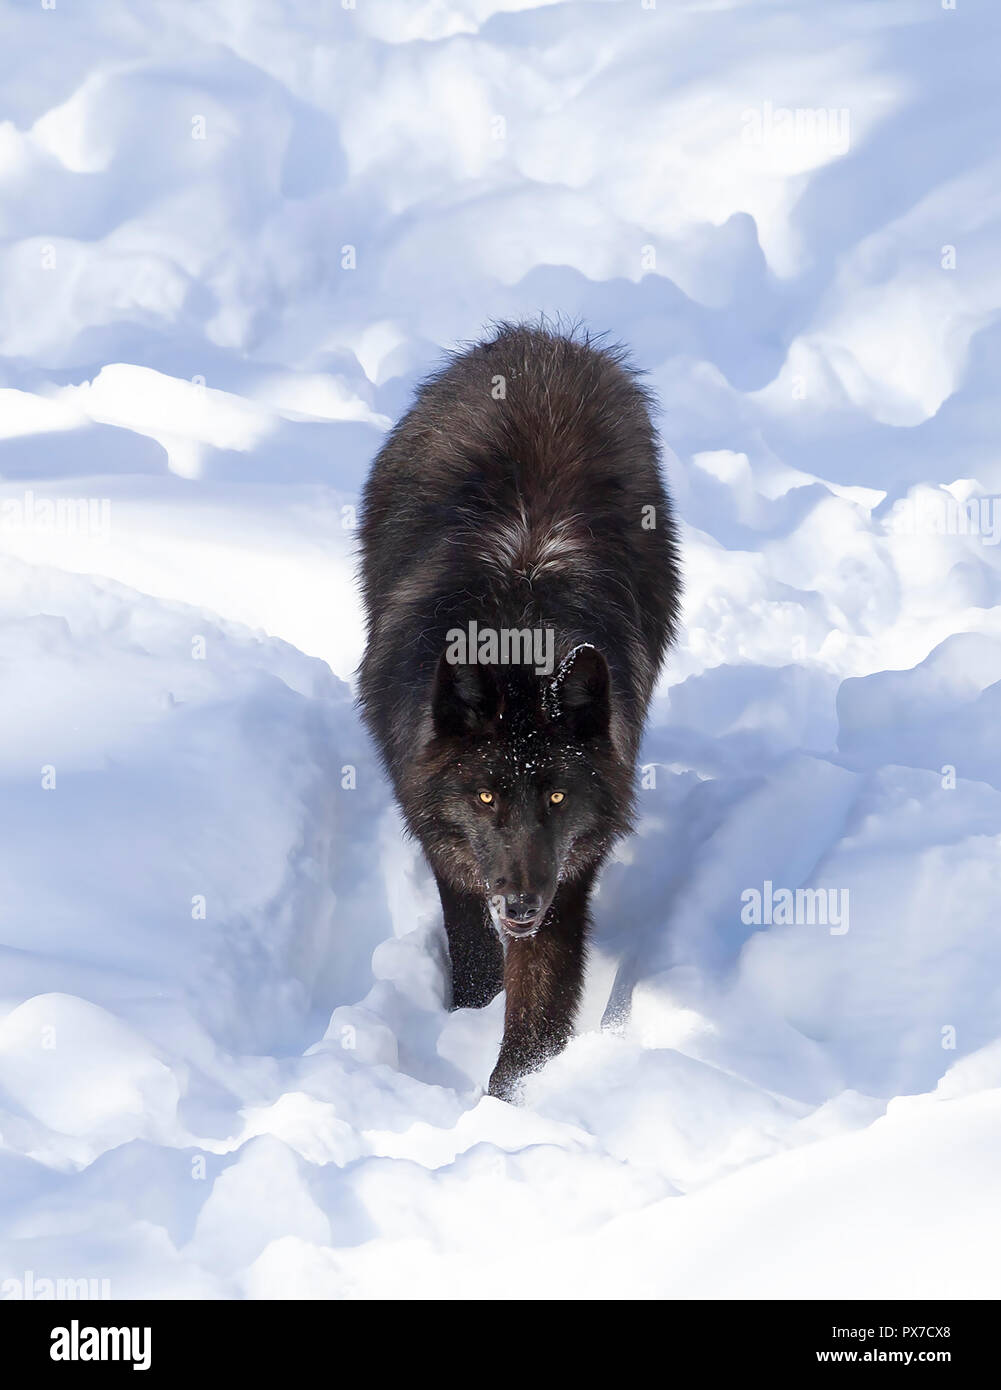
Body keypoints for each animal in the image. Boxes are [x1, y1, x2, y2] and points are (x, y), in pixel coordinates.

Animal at [358, 323, 681, 1100]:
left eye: (558, 796)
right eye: (483, 797)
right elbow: (475, 959)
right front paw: (469, 1026)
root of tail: (543, 339)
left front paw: (512, 1100)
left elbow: (537, 1013)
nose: (520, 908)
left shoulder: (570, 869)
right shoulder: (448, 844)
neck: (518, 633)